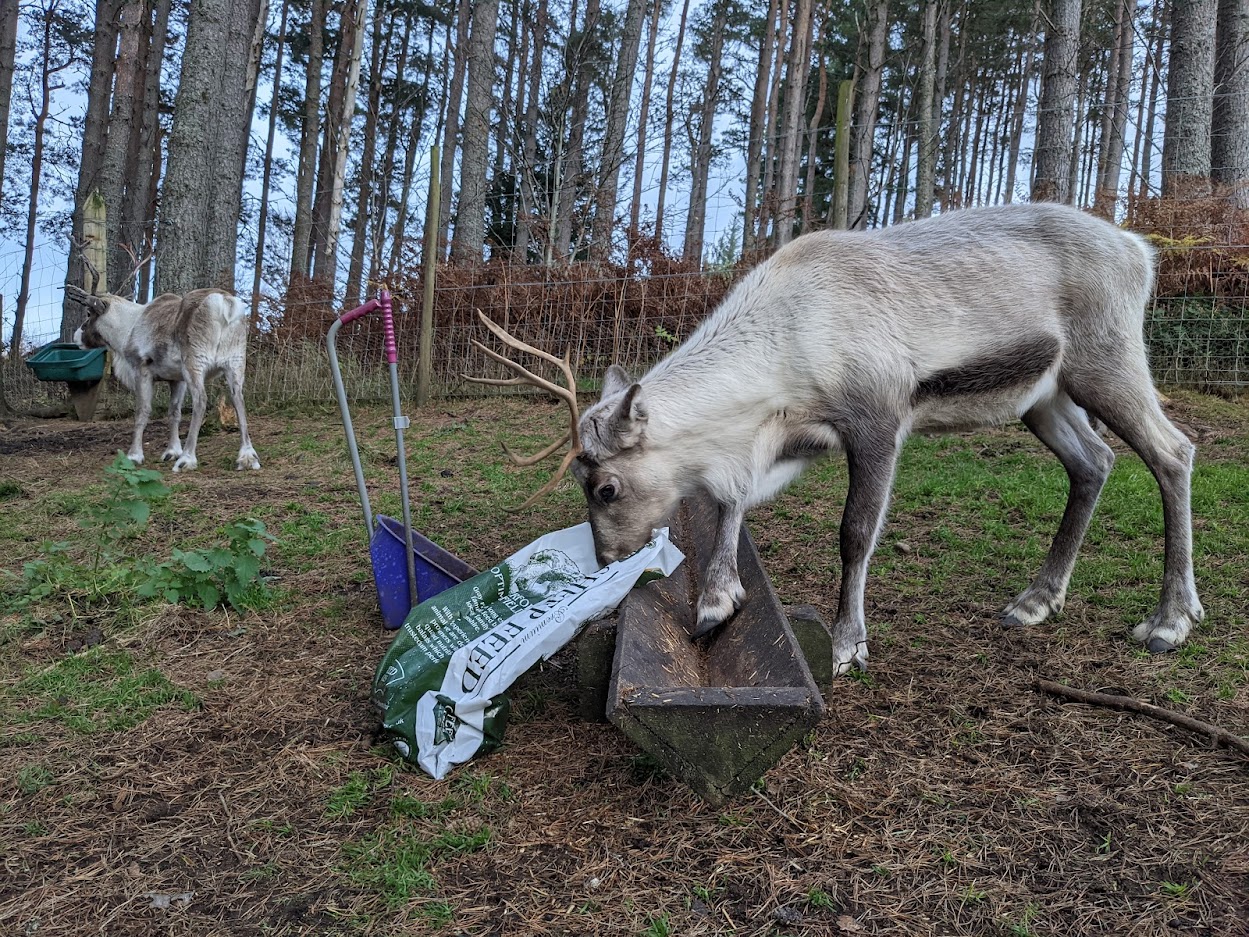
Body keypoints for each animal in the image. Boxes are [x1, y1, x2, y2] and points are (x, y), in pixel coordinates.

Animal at [66, 277, 261, 474]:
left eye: (89, 313)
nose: (76, 337)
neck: (128, 328)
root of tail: (225, 303)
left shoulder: (142, 369)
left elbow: (142, 411)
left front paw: (134, 455)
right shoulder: (177, 379)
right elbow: (174, 412)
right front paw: (172, 451)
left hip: (195, 363)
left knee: (201, 401)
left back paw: (186, 459)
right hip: (235, 363)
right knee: (238, 400)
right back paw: (247, 457)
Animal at [467, 202, 1205, 677]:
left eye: (606, 486)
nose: (605, 559)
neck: (783, 348)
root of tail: (1139, 251)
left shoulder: (875, 419)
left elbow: (854, 533)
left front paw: (849, 642)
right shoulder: (792, 437)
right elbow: (732, 503)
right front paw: (715, 600)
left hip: (1105, 361)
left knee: (1173, 451)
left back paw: (1170, 619)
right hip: (1042, 397)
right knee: (1095, 462)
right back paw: (1036, 600)